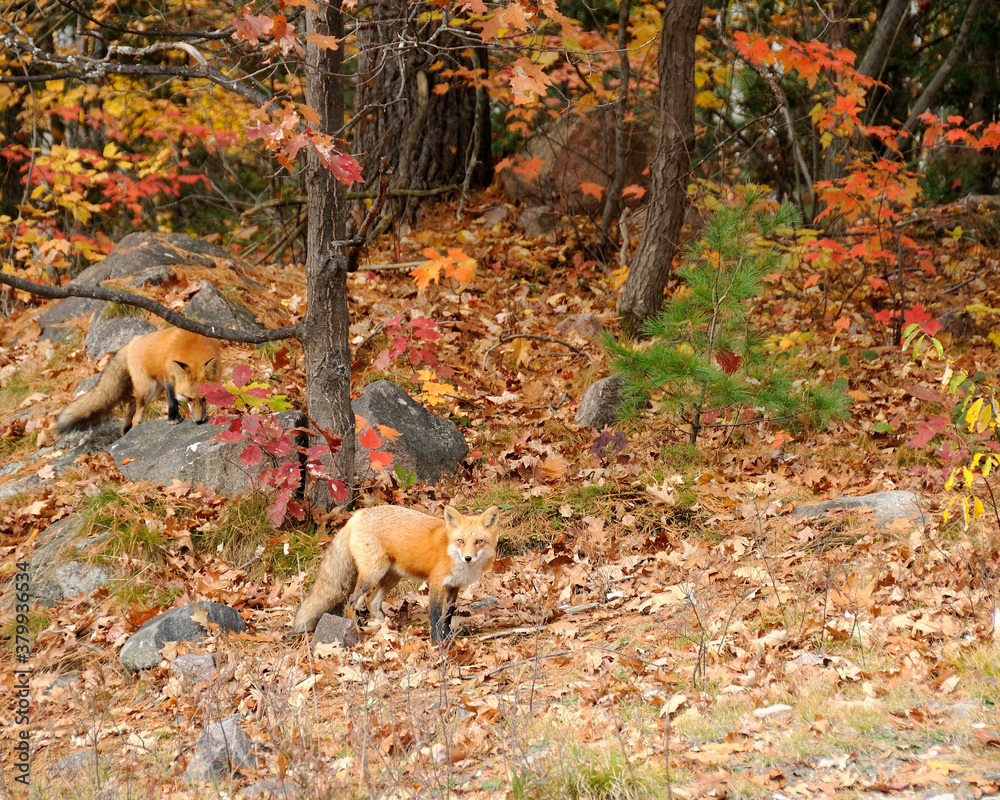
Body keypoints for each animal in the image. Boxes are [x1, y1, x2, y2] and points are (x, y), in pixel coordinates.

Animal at [57, 327, 222, 436]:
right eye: (189, 399)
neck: (193, 350)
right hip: (147, 389)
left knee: (131, 406)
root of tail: (131, 343)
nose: (199, 421)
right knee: (136, 414)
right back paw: (135, 428)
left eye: (205, 398)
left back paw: (125, 431)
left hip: (154, 393)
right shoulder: (168, 376)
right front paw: (173, 417)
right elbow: (172, 399)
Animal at [291, 504, 501, 642]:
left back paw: (386, 628)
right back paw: (358, 631)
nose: (468, 558)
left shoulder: (453, 586)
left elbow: (447, 615)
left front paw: (448, 636)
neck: (451, 553)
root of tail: (357, 514)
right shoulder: (436, 583)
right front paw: (438, 641)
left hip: (392, 577)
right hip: (373, 574)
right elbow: (435, 616)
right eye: (460, 541)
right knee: (352, 602)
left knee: (372, 602)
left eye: (479, 542)